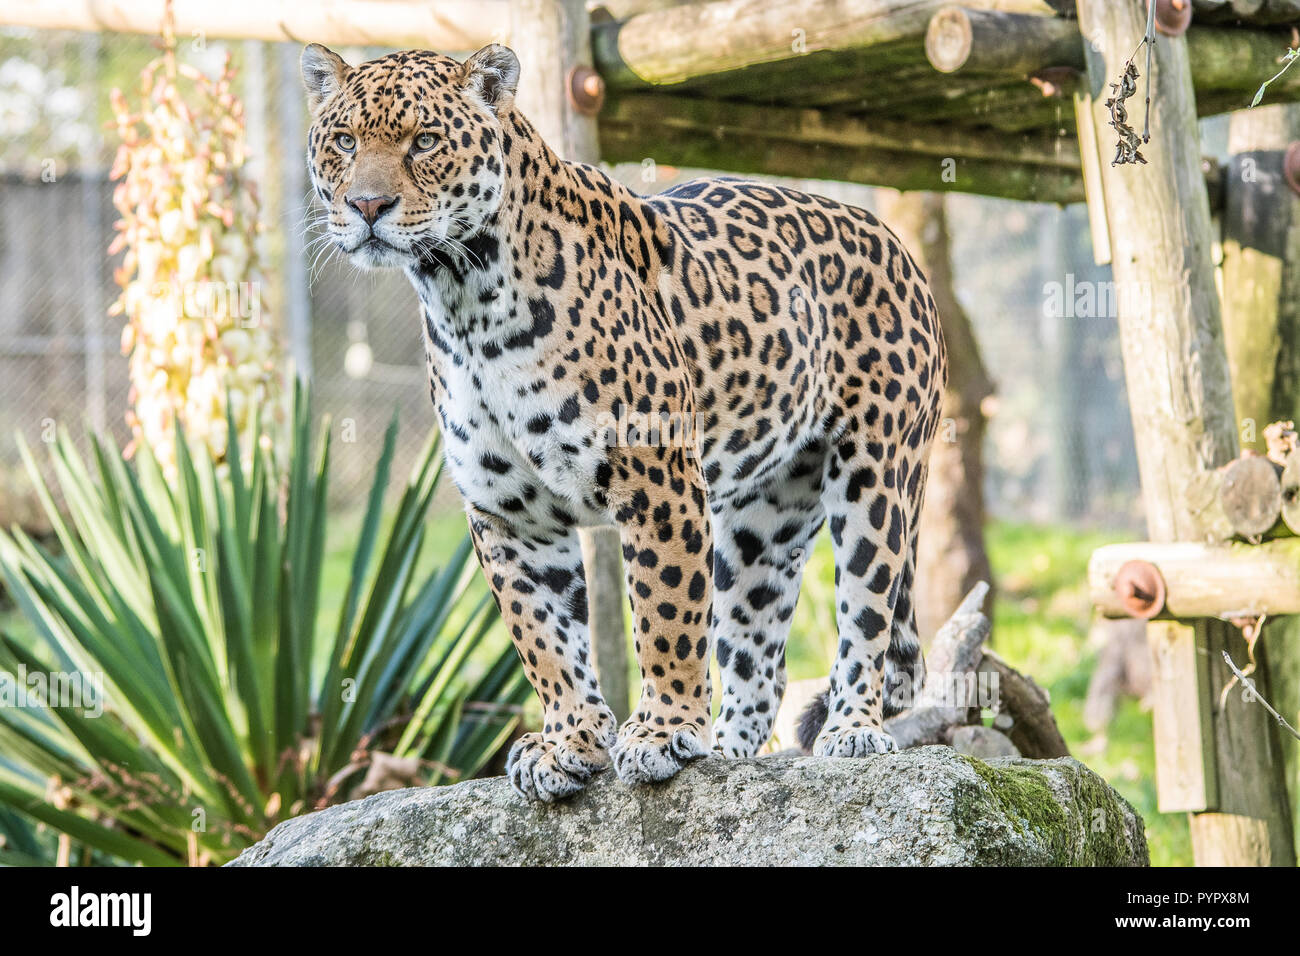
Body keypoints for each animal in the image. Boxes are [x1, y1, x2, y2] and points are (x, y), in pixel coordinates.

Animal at [301, 42, 947, 802]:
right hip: (765, 518)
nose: (367, 205)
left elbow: (667, 615)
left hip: (877, 478)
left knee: (867, 612)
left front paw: (660, 734)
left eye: (425, 141)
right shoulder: (507, 513)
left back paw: (851, 731)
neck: (461, 299)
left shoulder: (657, 478)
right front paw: (567, 742)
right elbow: (543, 639)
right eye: (346, 141)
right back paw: (729, 752)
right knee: (759, 652)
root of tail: (892, 241)